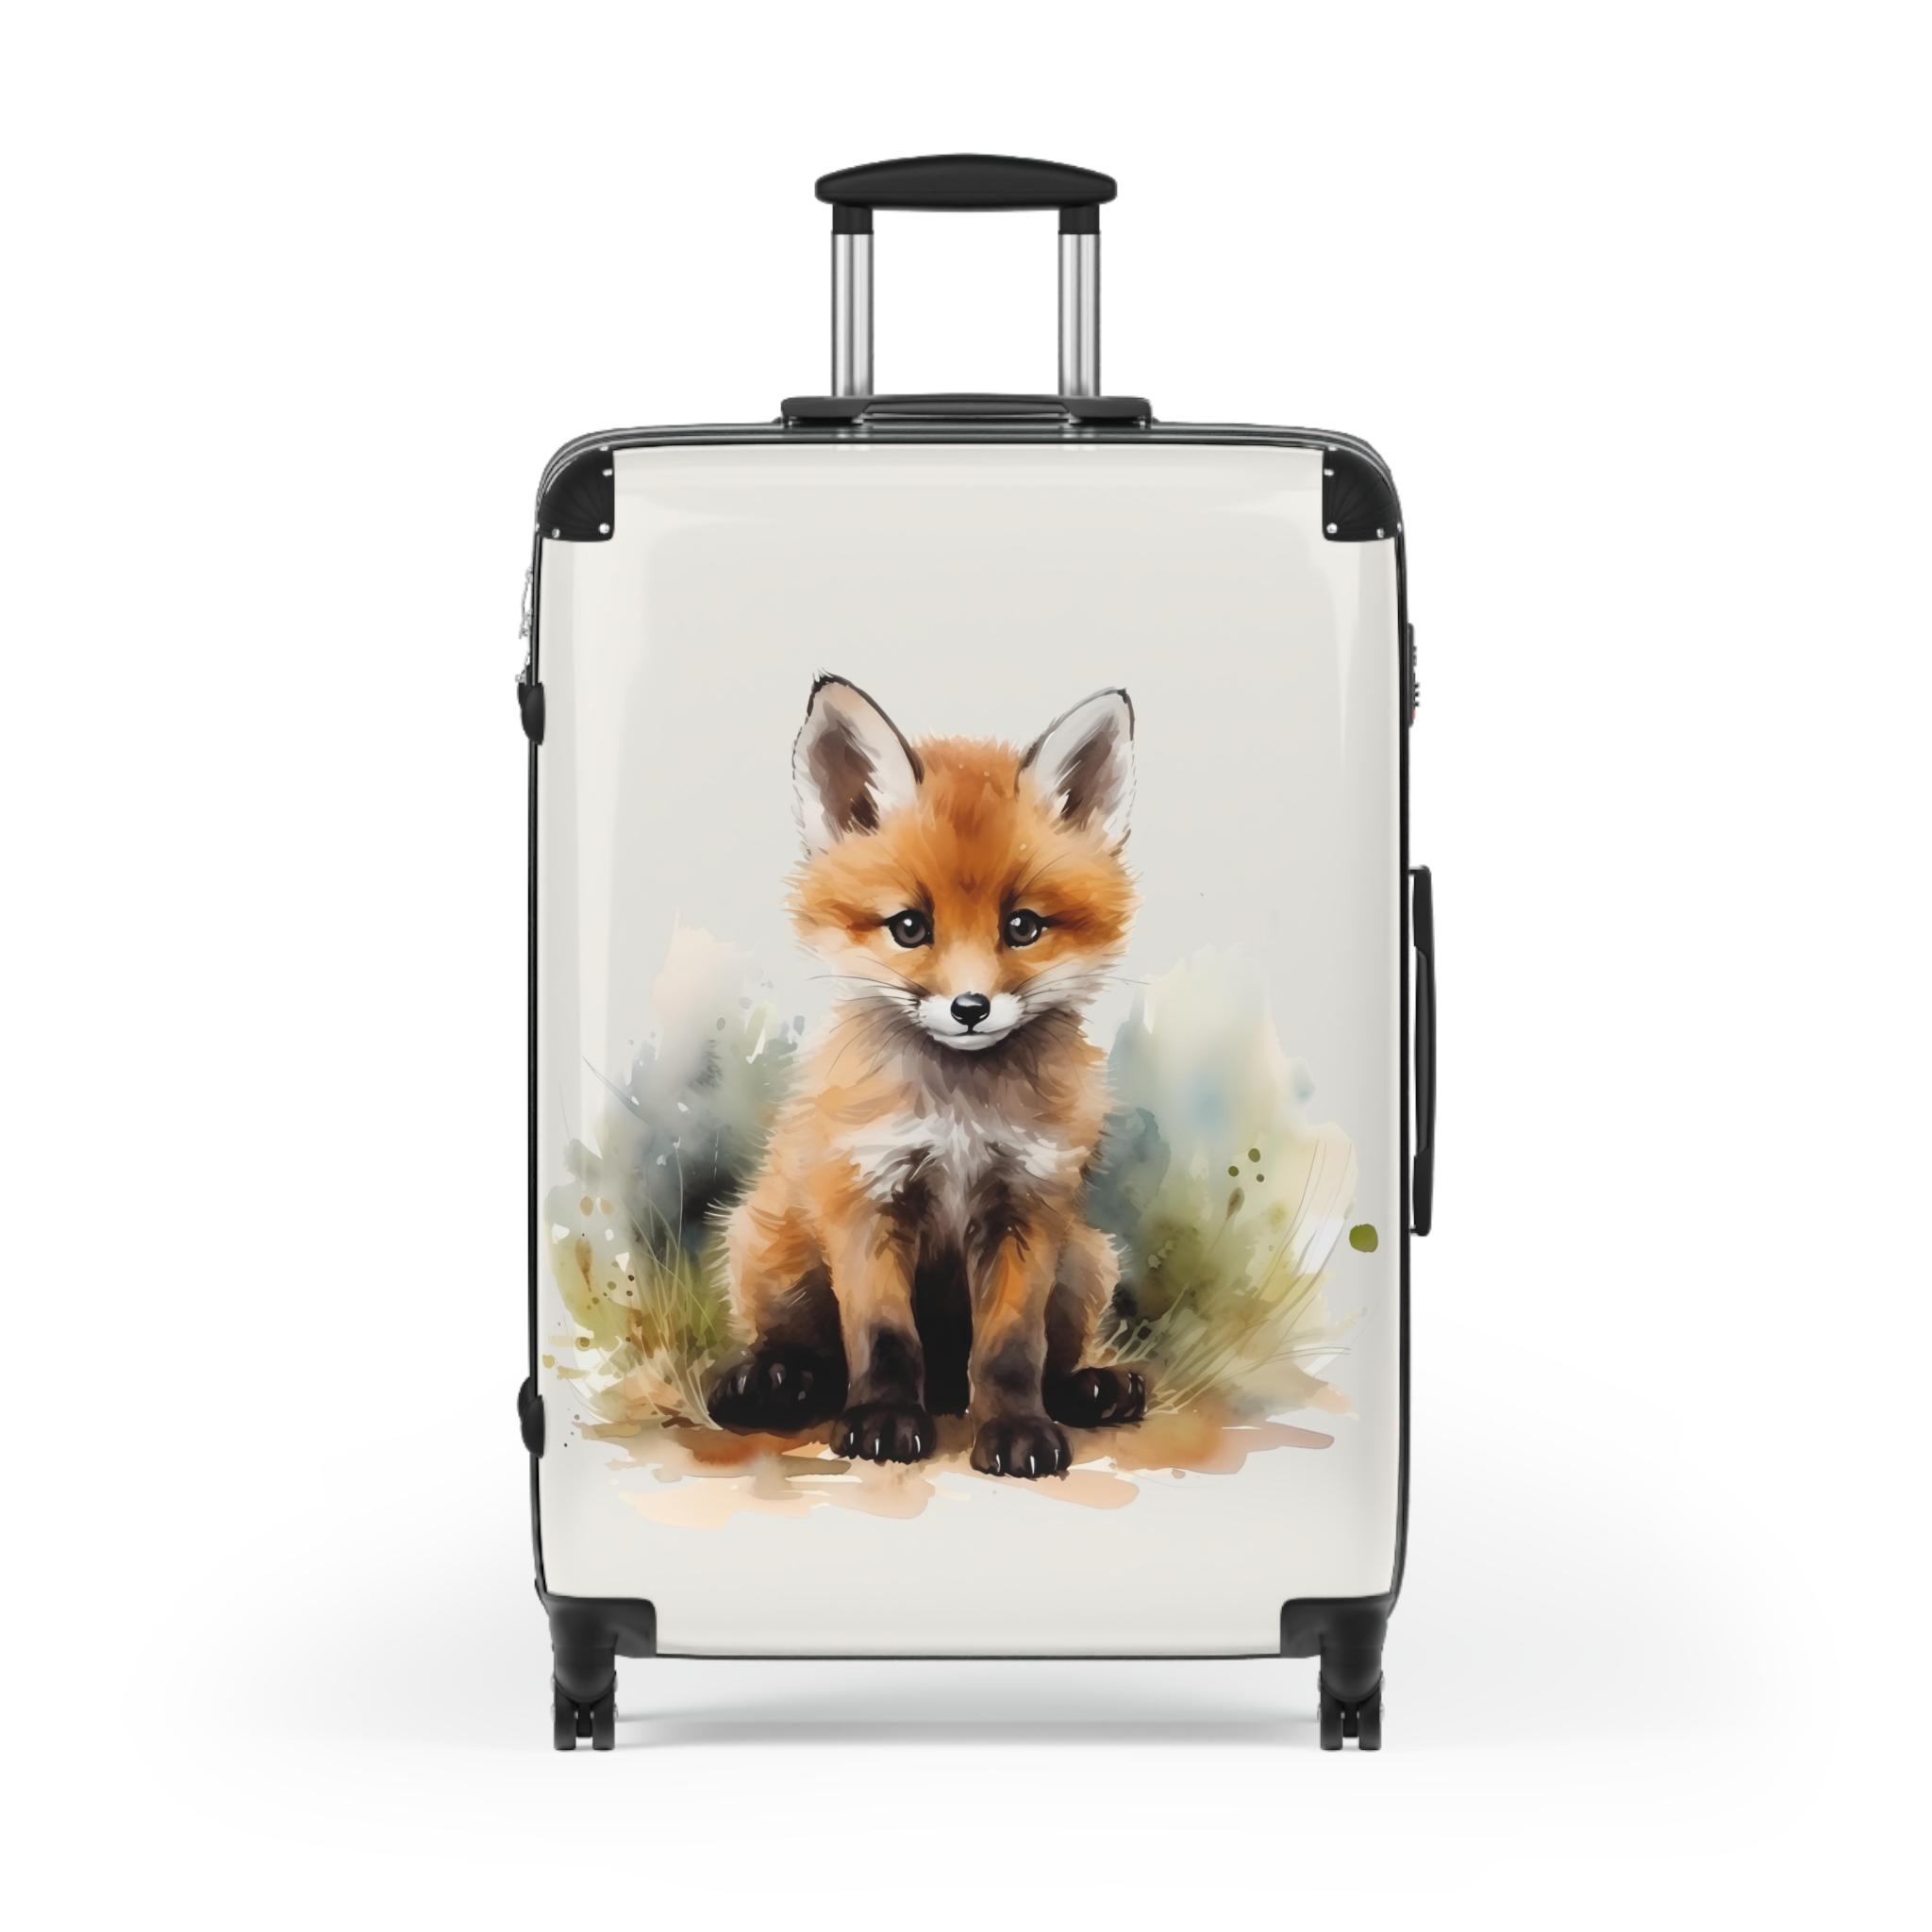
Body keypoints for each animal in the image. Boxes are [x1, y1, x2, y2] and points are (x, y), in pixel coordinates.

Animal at [707, 674, 1147, 1479]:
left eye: (1023, 927)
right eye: (909, 927)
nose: (970, 1008)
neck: (958, 1121)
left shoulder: (1026, 1207)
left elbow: (1010, 1349)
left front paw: (1017, 1431)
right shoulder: (866, 1197)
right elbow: (884, 1338)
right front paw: (882, 1422)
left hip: (1087, 1258)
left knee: (1044, 1358)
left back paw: (1087, 1389)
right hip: (766, 1246)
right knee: (808, 1355)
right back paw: (772, 1382)